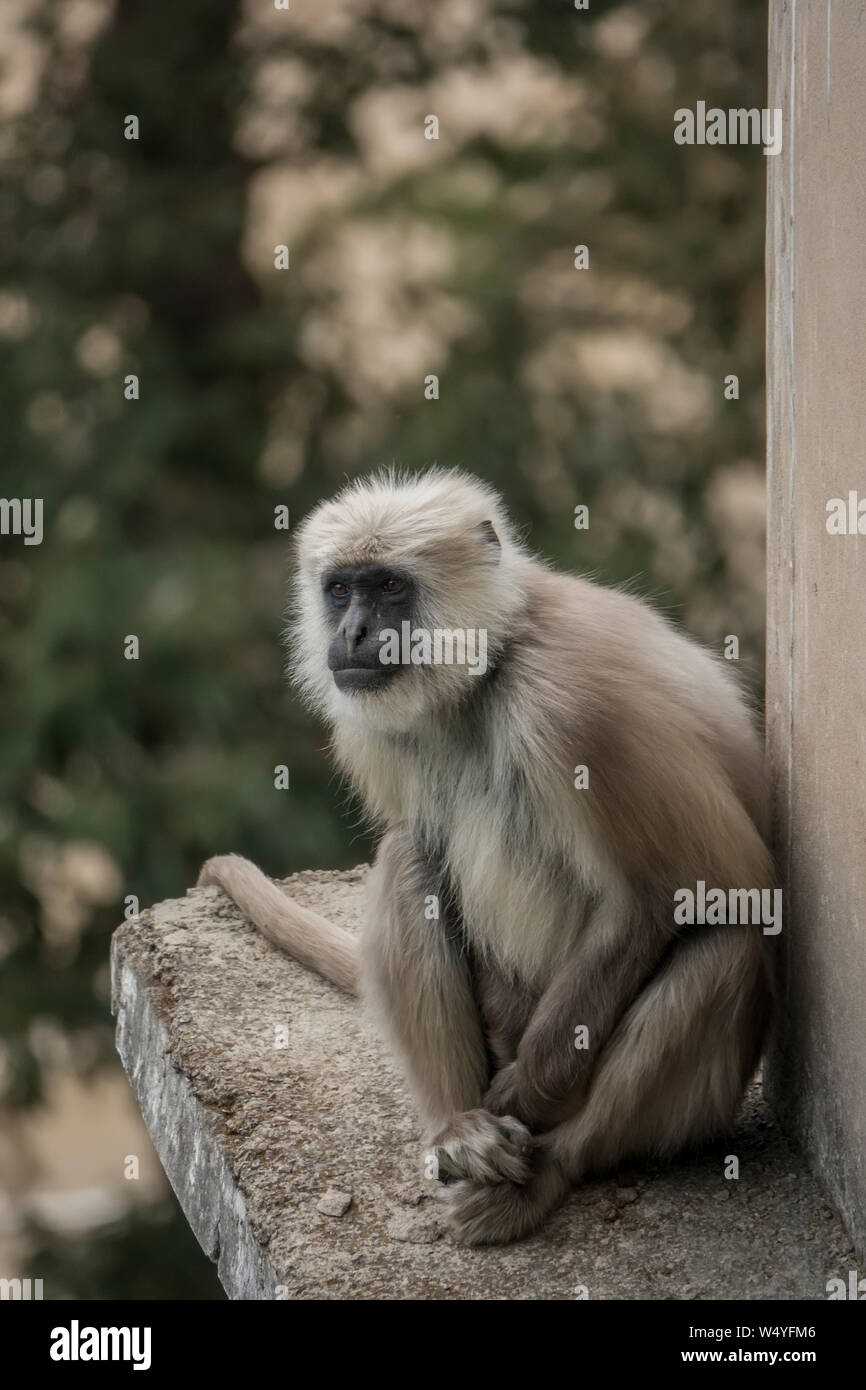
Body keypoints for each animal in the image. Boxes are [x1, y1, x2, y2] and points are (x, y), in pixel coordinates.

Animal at [199, 468, 775, 1247]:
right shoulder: (370, 723)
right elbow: (429, 849)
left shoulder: (570, 703)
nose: (352, 633)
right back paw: (460, 1126)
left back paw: (551, 1168)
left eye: (389, 587)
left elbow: (681, 890)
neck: (486, 668)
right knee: (409, 854)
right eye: (341, 590)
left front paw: (526, 1094)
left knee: (726, 944)